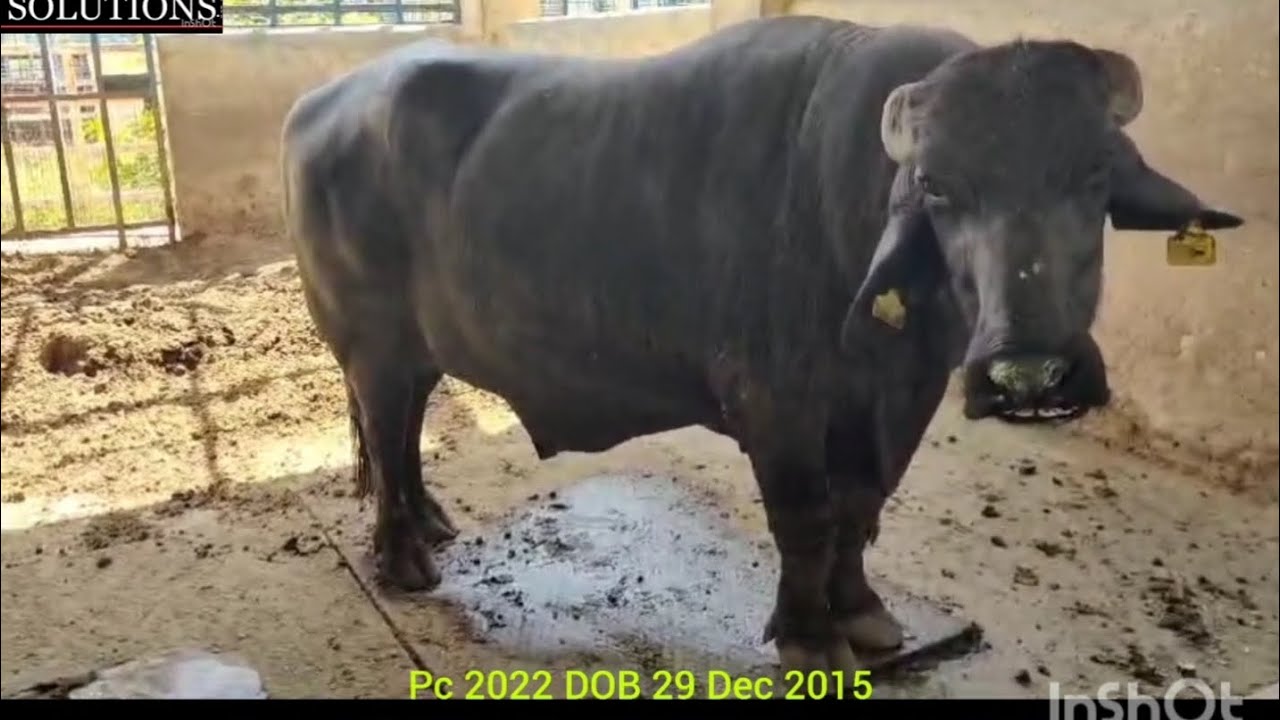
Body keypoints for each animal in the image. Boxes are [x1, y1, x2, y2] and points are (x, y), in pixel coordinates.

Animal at [281, 15, 1243, 680]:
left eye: (1095, 172)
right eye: (937, 187)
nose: (1029, 371)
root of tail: (317, 107)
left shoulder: (903, 397)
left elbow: (861, 508)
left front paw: (862, 612)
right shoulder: (778, 405)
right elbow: (807, 519)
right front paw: (811, 633)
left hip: (409, 353)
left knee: (401, 437)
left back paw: (429, 522)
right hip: (372, 347)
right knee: (389, 432)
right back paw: (403, 558)